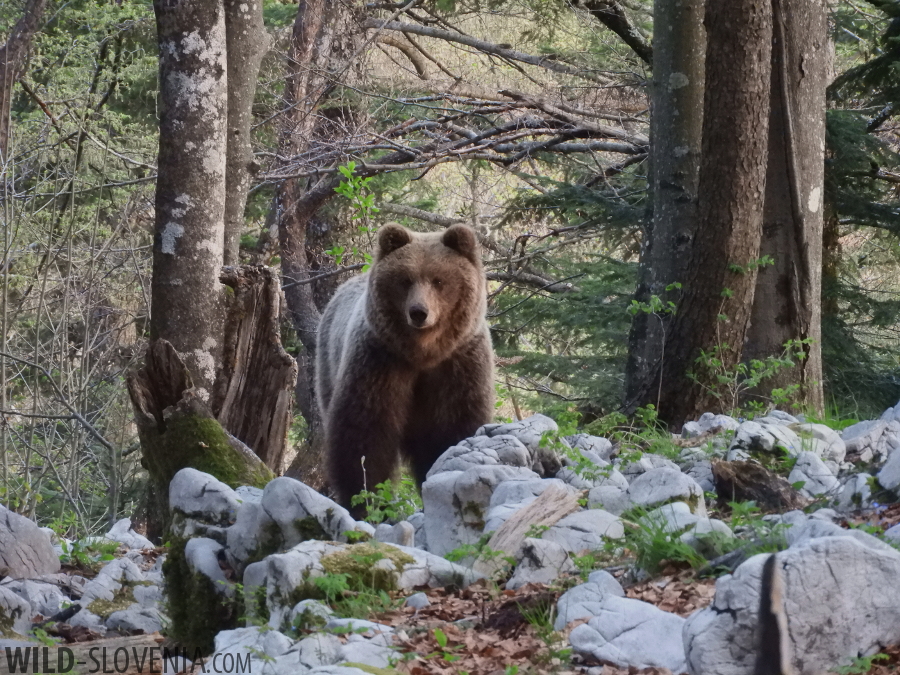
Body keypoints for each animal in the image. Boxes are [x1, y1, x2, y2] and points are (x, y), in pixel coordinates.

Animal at [316, 223, 495, 509]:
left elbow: (456, 427)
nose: (419, 312)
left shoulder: (458, 364)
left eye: (439, 280)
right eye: (405, 280)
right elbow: (363, 435)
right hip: (327, 365)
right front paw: (365, 498)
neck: (423, 353)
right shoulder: (380, 361)